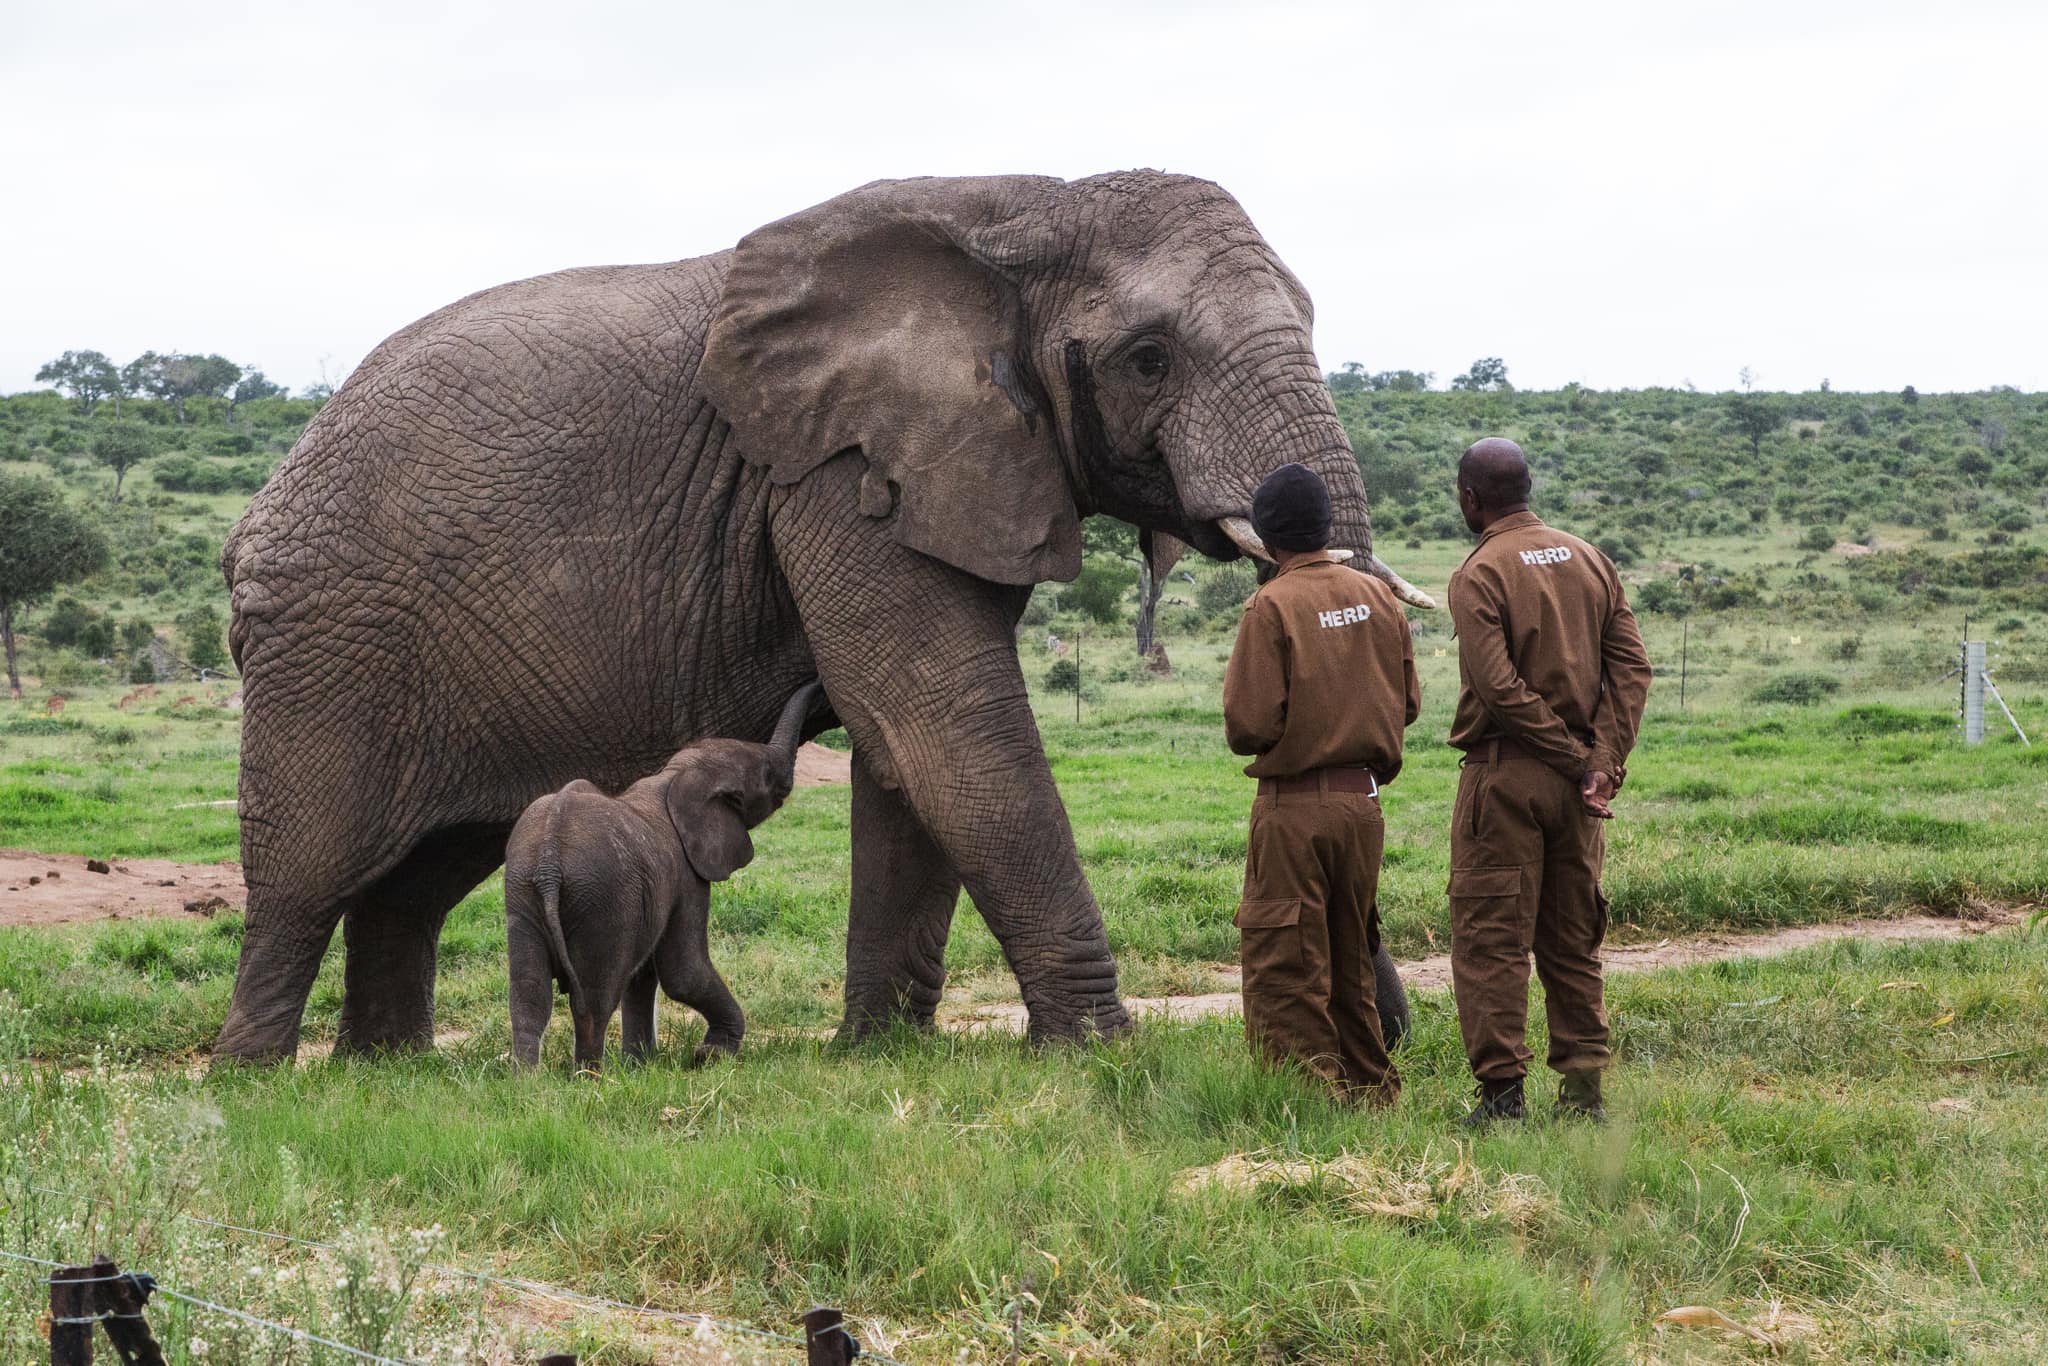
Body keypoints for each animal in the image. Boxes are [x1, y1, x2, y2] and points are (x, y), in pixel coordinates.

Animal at [504, 681, 820, 1069]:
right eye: (766, 777)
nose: (818, 684)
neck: (675, 775)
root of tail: (550, 861)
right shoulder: (687, 875)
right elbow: (683, 971)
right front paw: (711, 1056)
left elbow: (645, 975)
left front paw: (639, 1066)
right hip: (604, 901)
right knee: (595, 1000)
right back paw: (591, 1076)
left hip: (523, 894)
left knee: (529, 996)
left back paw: (528, 1078)